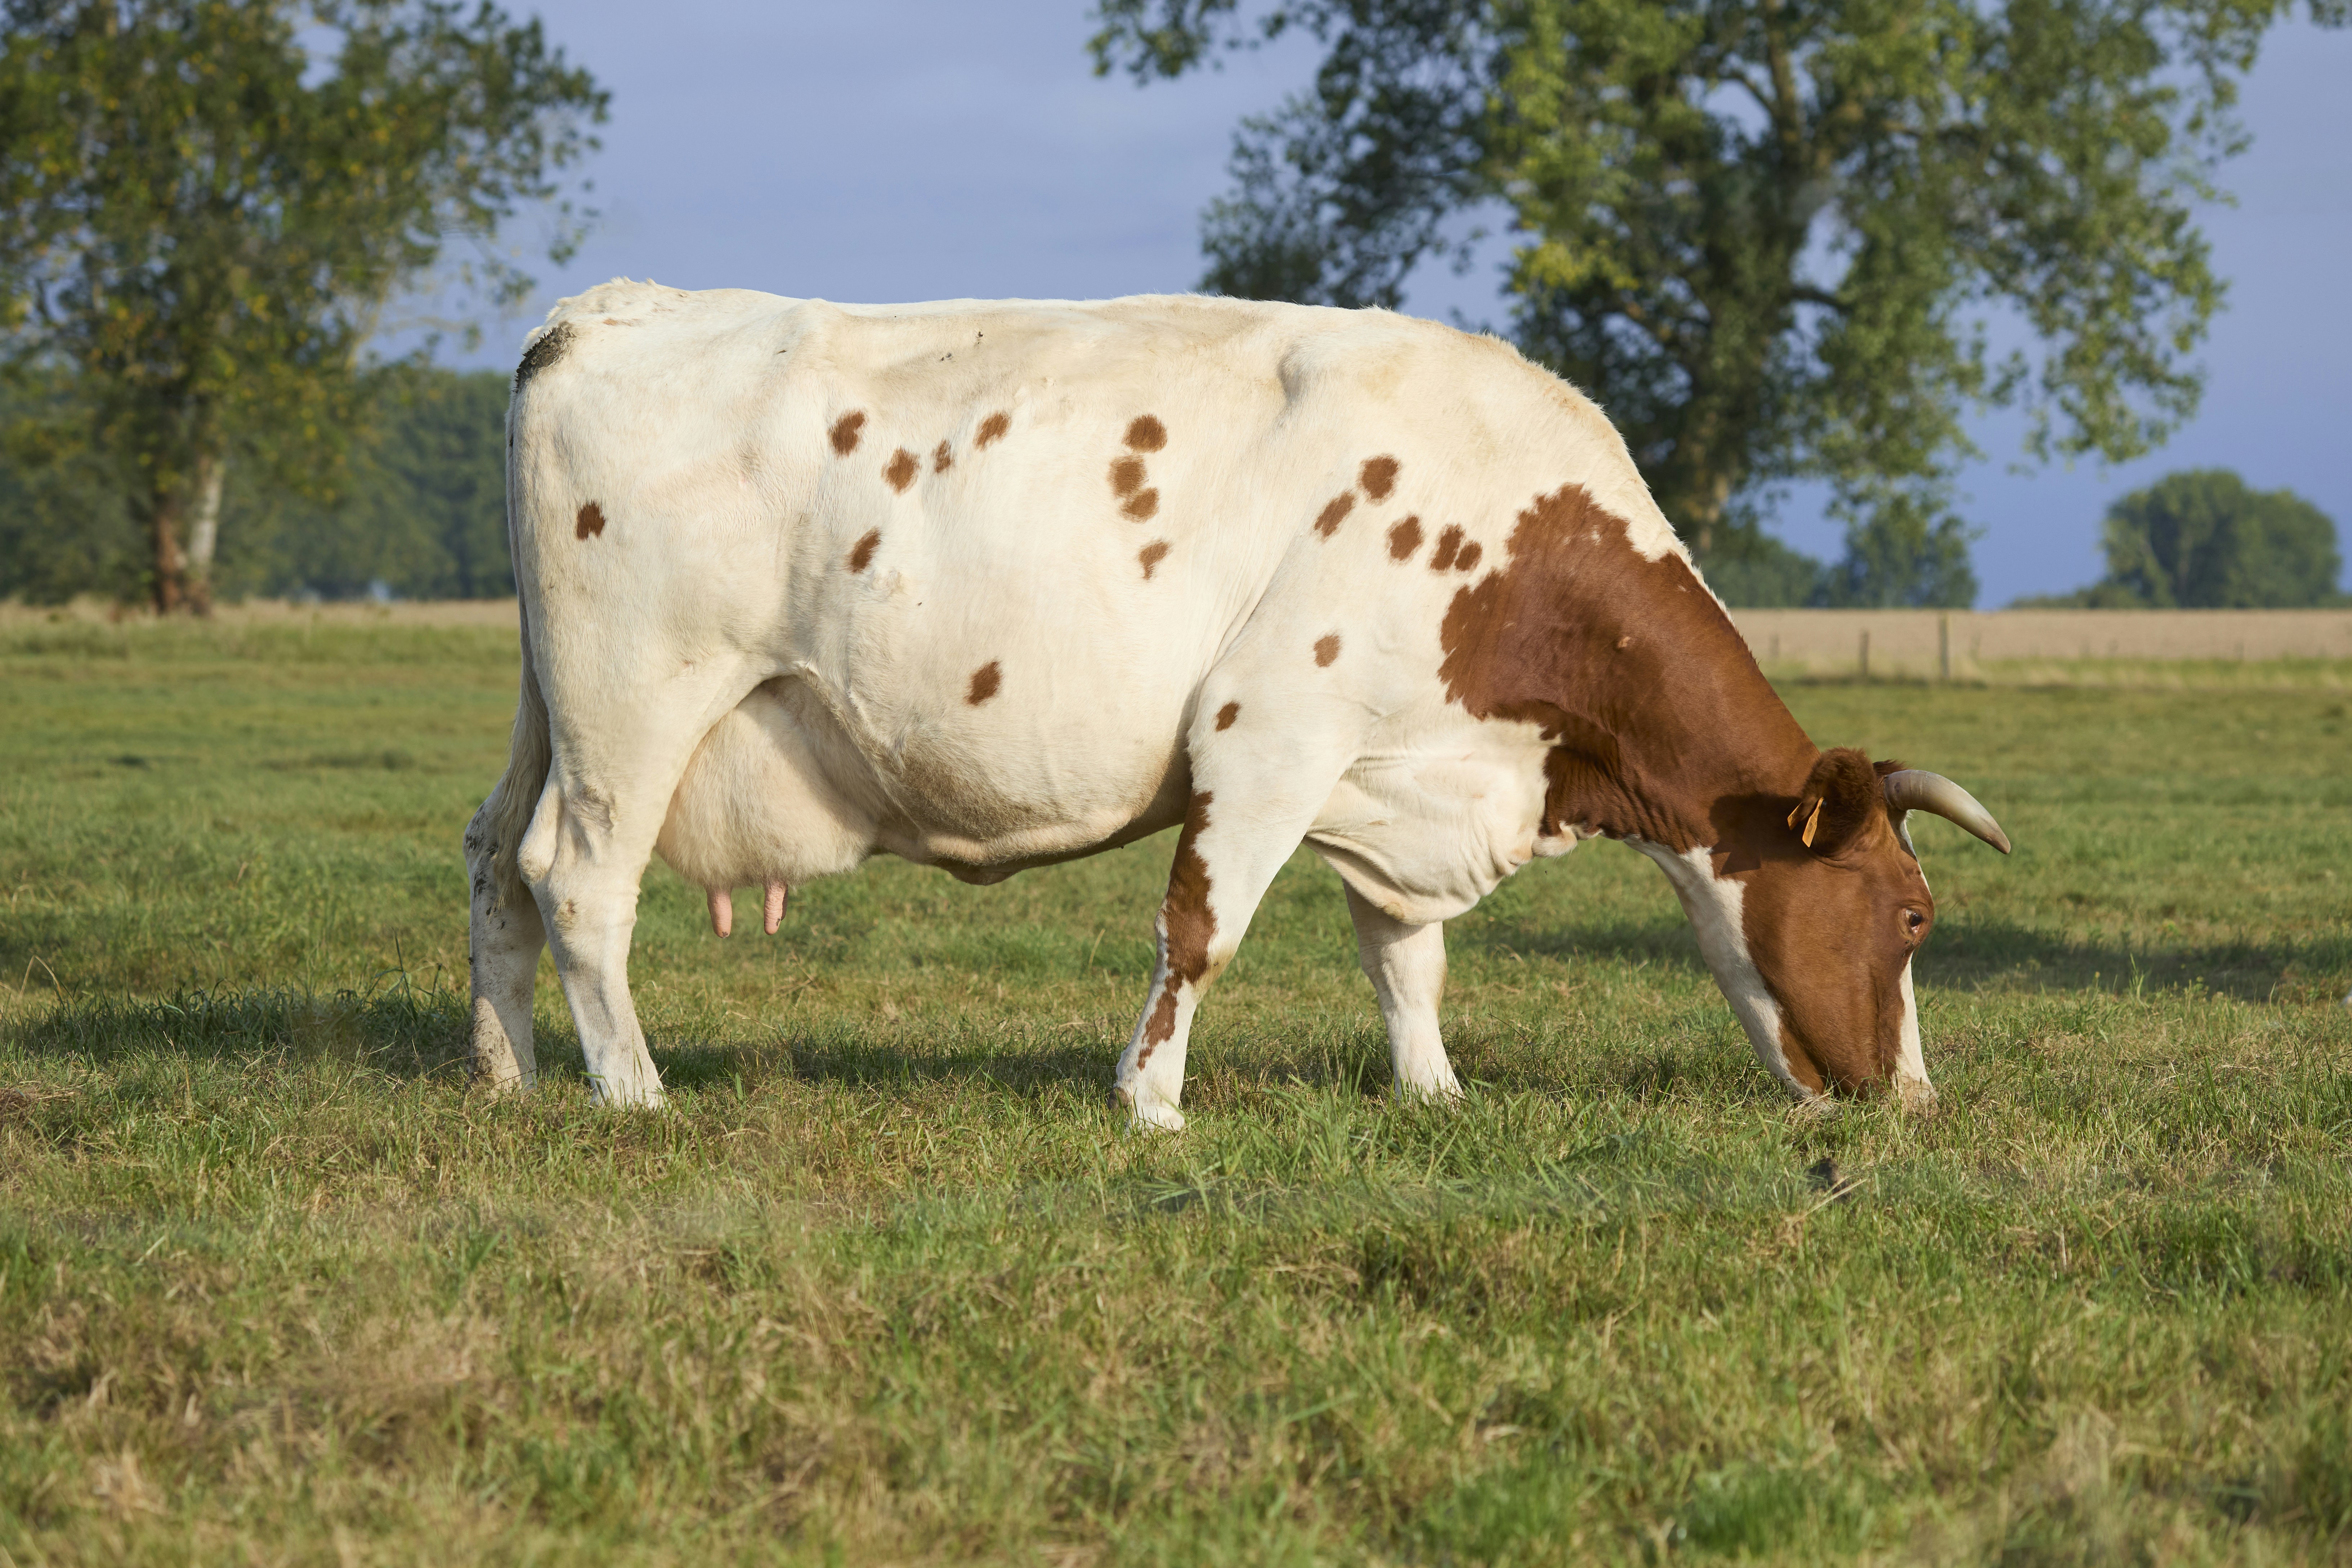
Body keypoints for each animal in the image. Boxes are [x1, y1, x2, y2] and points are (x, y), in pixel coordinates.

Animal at [463, 281, 2010, 1126]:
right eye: (1912, 919)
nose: (1913, 1097)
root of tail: (610, 311)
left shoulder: (1396, 771)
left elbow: (1405, 955)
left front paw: (1434, 1090)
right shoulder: (1269, 738)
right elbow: (1203, 928)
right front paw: (1151, 1101)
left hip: (546, 706)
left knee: (491, 857)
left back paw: (507, 1070)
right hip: (634, 702)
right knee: (580, 879)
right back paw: (633, 1090)